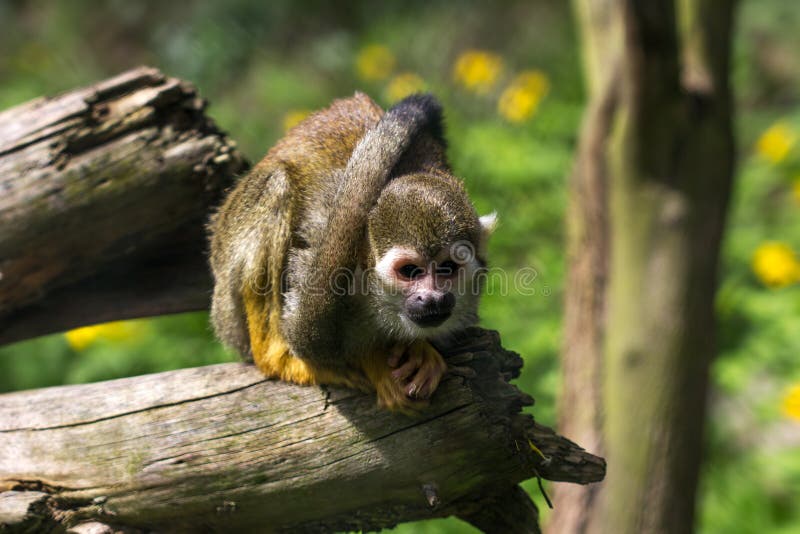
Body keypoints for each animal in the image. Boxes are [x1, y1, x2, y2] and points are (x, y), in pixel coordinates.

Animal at [209, 92, 496, 412]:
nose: (432, 298)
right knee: (276, 184)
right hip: (227, 303)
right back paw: (277, 358)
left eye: (447, 268)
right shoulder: (320, 247)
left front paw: (417, 350)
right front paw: (374, 359)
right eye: (410, 271)